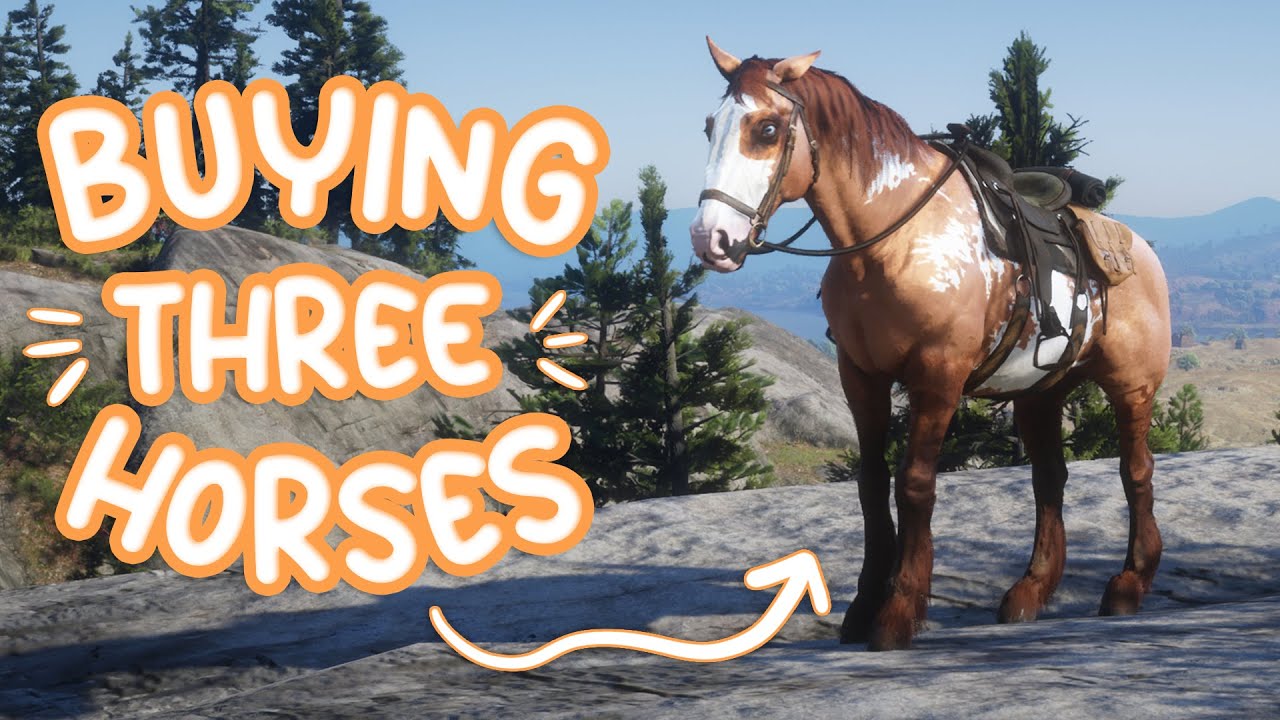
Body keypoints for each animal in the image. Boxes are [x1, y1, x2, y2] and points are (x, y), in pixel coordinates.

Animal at [689, 38, 1171, 651]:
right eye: (710, 126)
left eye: (768, 129)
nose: (711, 239)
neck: (895, 243)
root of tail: (1144, 251)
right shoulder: (860, 375)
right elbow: (873, 484)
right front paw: (863, 606)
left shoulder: (938, 375)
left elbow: (915, 484)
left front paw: (898, 610)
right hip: (1040, 394)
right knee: (1049, 480)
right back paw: (1030, 591)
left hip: (1132, 386)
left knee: (1137, 471)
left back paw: (1130, 583)